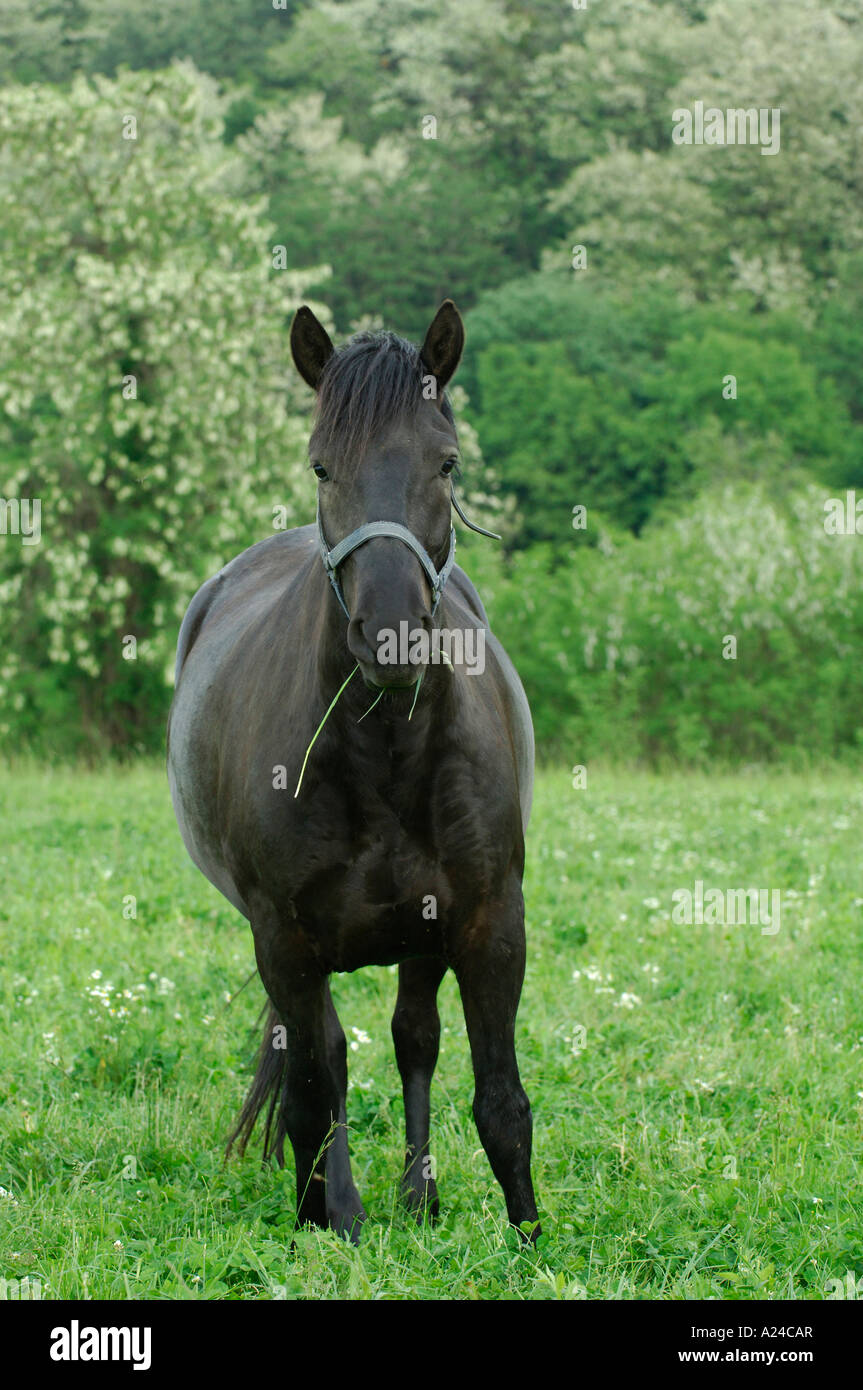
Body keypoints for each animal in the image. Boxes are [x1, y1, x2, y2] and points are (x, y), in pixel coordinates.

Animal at [167, 300, 539, 1242]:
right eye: (321, 465)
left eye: (445, 462)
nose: (392, 635)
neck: (386, 756)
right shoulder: (284, 939)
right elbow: (310, 1092)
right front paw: (322, 1222)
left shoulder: (487, 921)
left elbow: (499, 1103)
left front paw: (528, 1241)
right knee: (326, 1058)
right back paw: (348, 1202)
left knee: (412, 1038)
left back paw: (418, 1194)